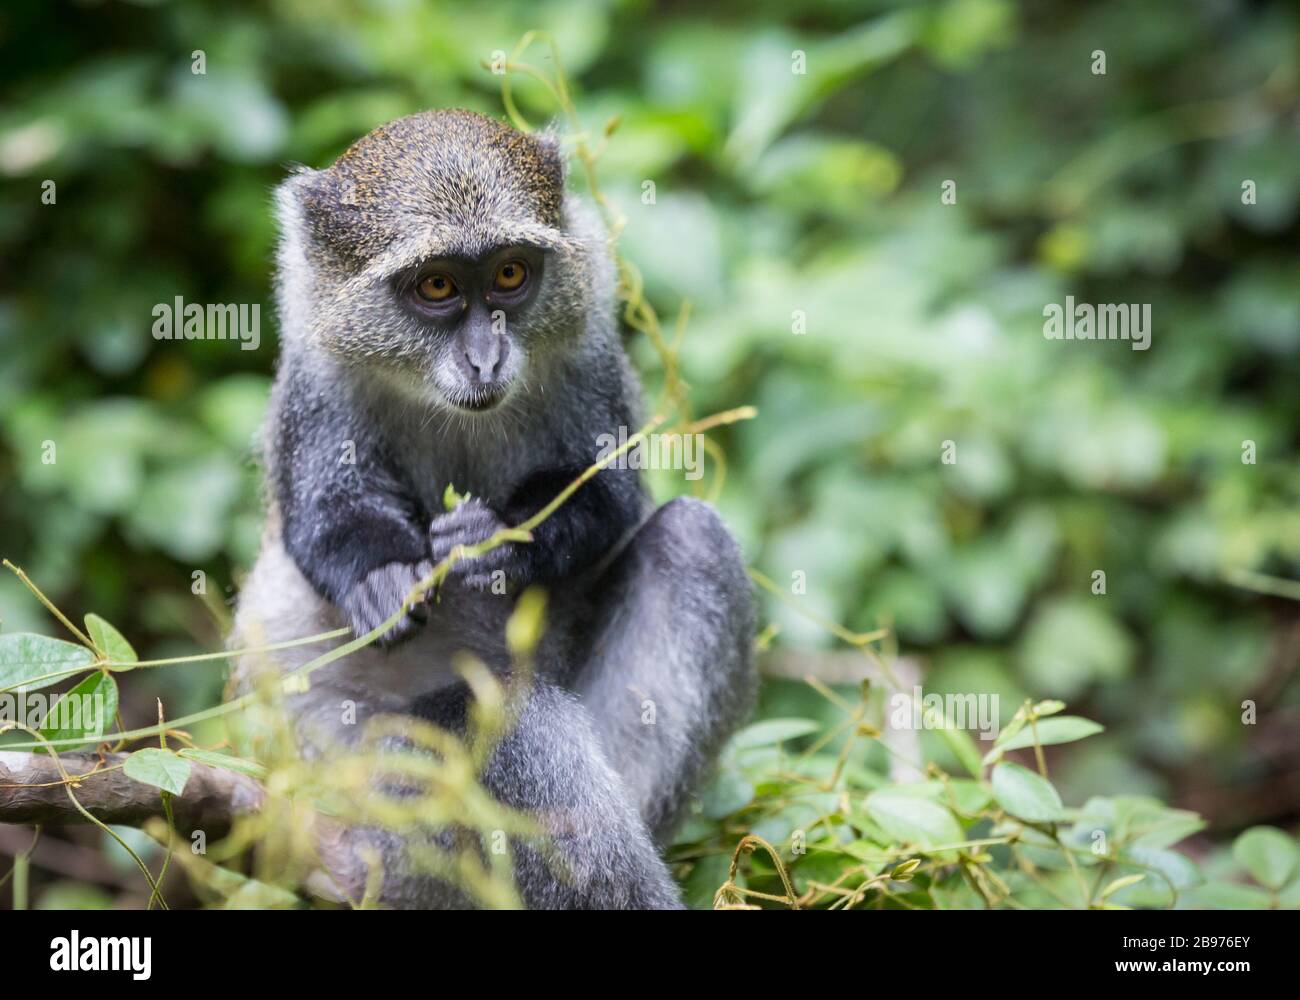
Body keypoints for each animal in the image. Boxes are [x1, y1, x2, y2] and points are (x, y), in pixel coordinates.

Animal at [230, 109, 756, 909]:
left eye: (511, 273)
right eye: (438, 284)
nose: (486, 357)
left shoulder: (588, 343)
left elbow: (612, 499)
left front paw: (504, 538)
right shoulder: (316, 370)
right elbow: (321, 513)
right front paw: (380, 580)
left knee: (691, 541)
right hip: (387, 822)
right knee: (499, 724)